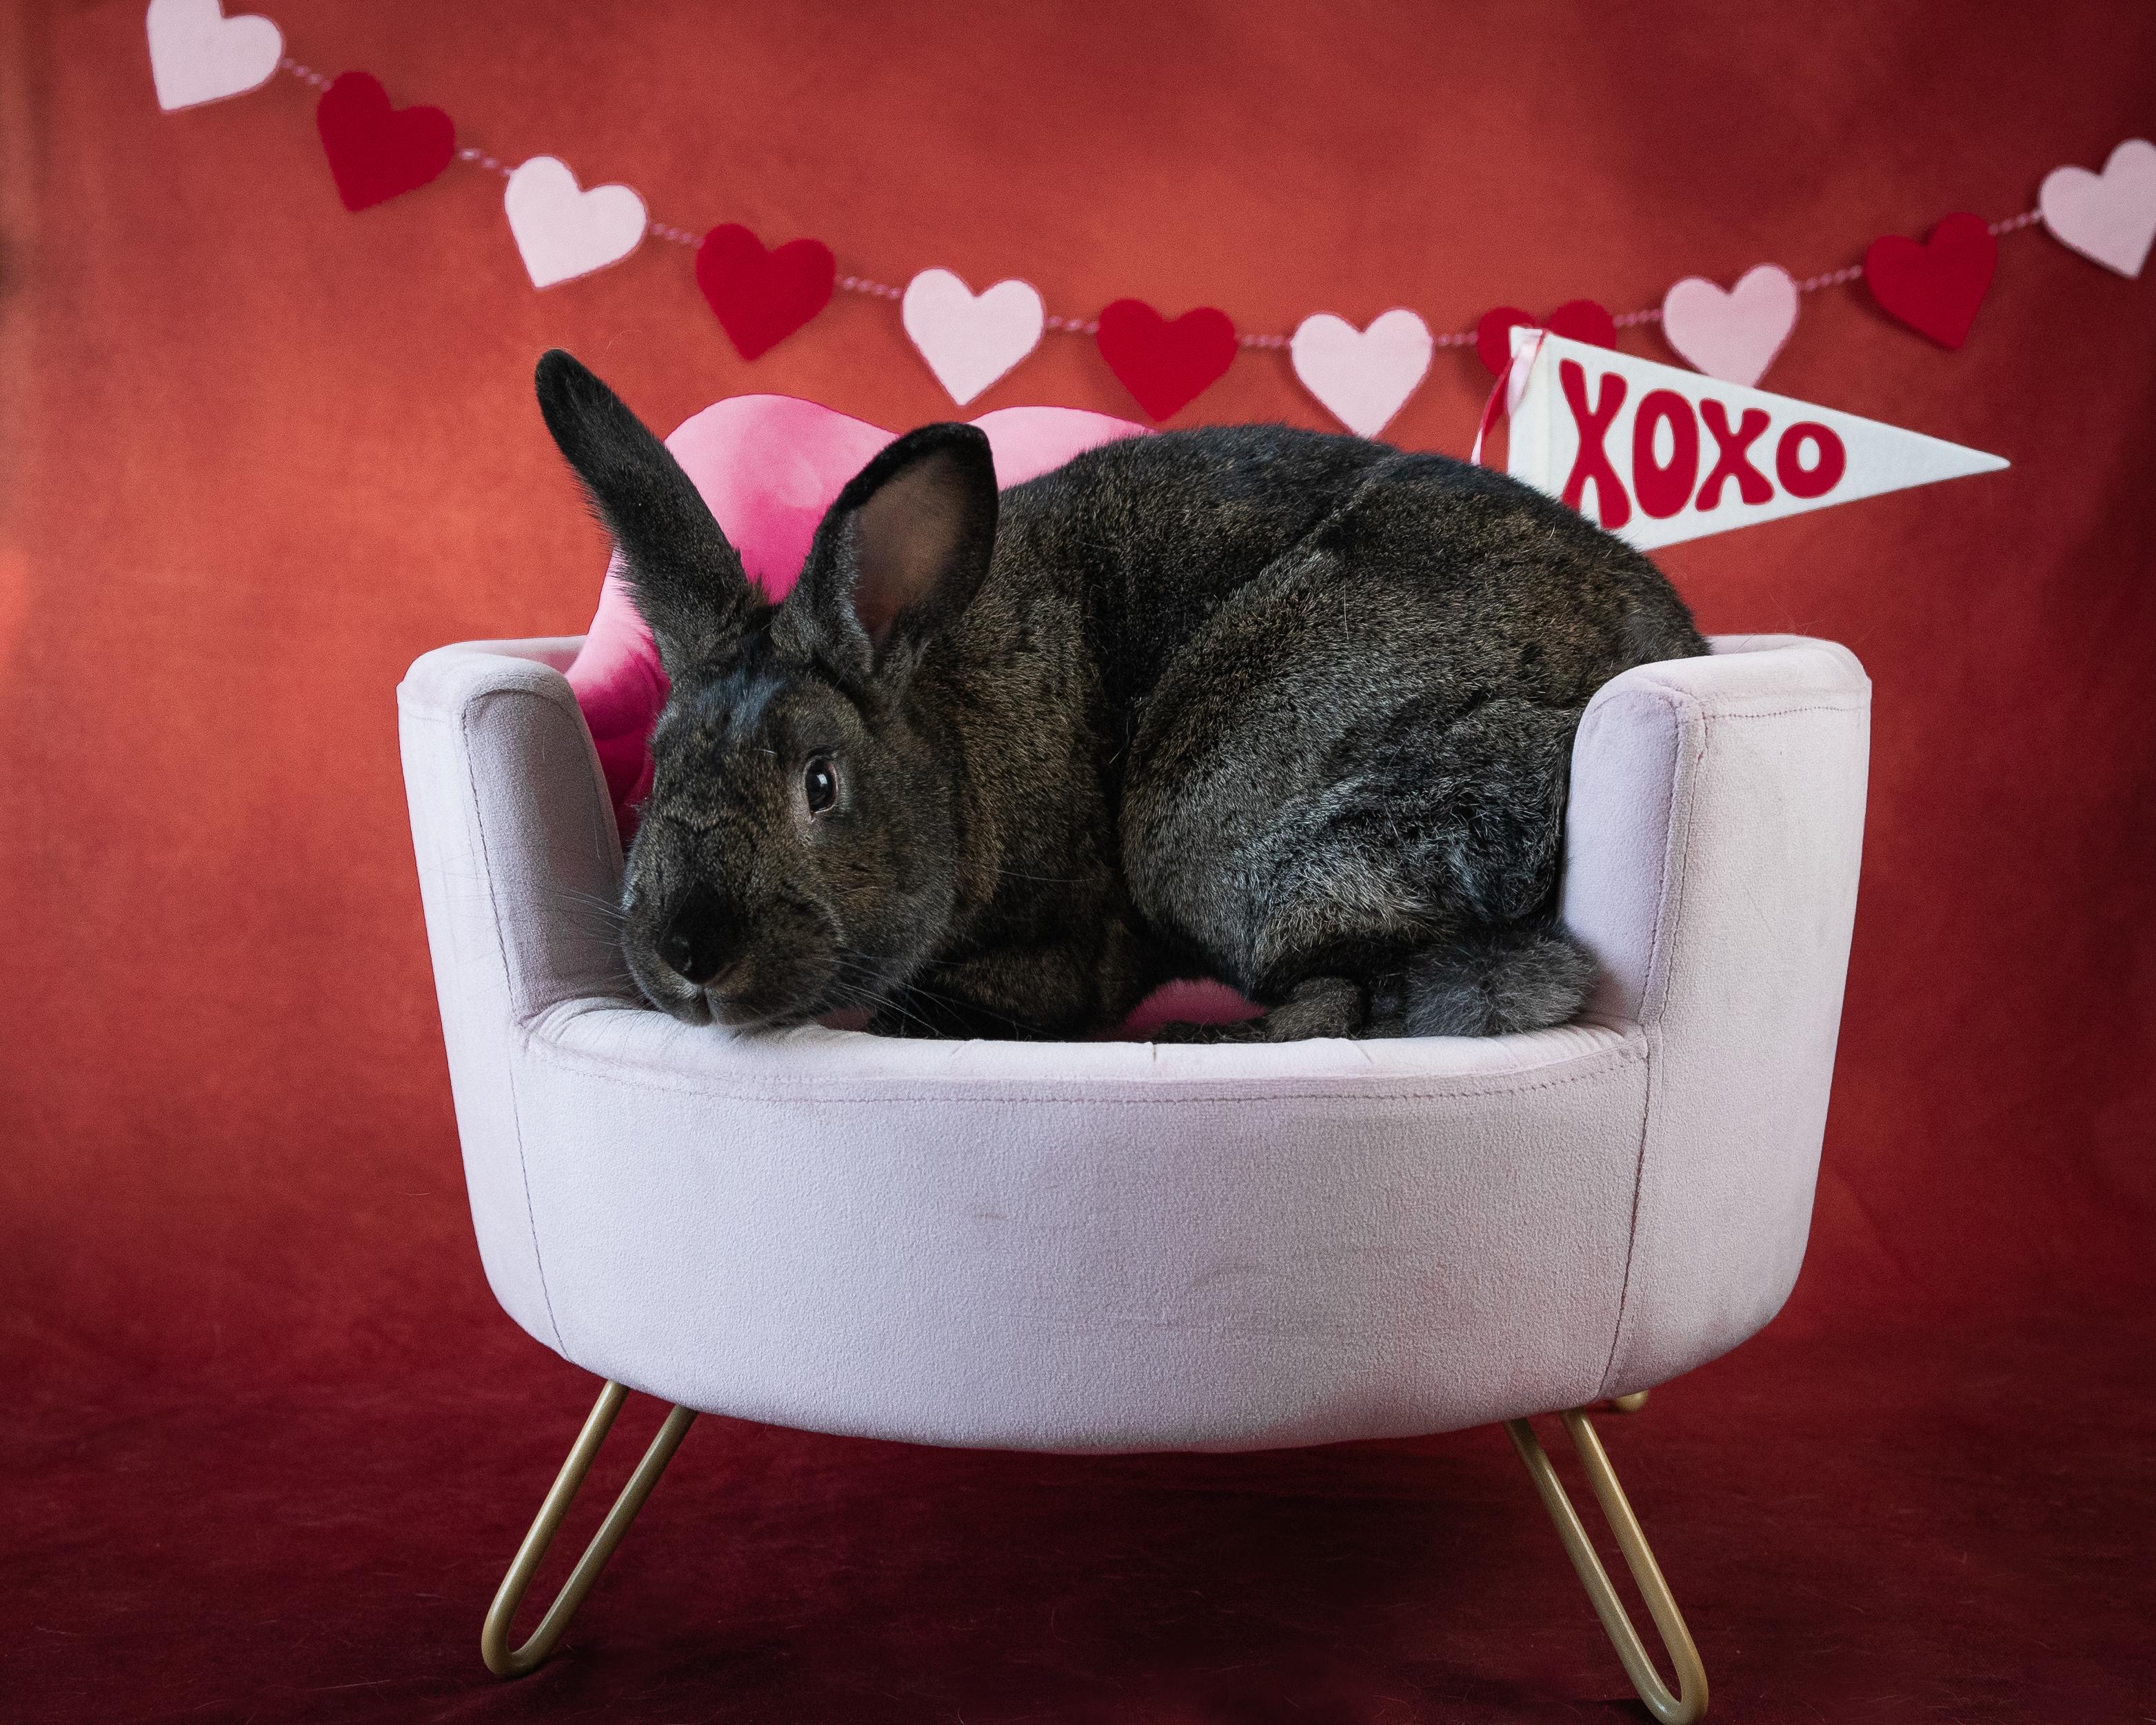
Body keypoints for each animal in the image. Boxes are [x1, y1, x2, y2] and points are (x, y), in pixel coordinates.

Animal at [534, 349, 1707, 1042]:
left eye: (820, 781)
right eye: (658, 763)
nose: (691, 954)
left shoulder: (1071, 950)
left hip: (1200, 814)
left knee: (1347, 999)